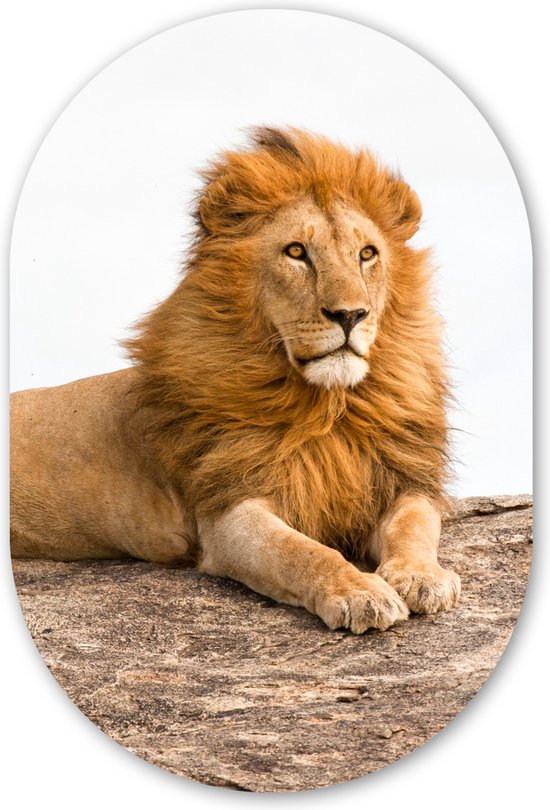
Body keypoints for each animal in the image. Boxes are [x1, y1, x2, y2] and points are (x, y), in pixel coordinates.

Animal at [10, 127, 460, 633]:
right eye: (297, 252)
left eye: (367, 254)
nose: (350, 314)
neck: (327, 407)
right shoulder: (229, 511)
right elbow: (302, 552)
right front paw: (359, 592)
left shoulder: (401, 481)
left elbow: (414, 524)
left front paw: (422, 577)